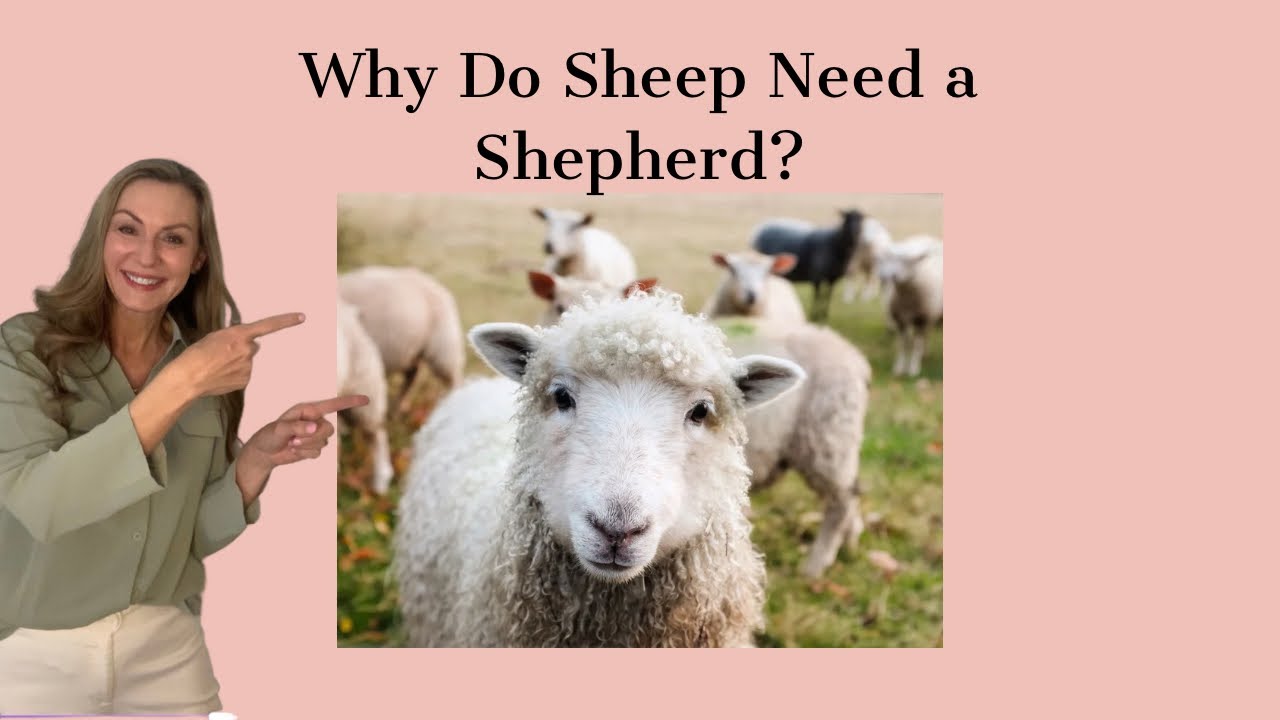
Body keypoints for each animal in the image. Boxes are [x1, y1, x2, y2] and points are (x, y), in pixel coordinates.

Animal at [876, 236, 943, 377]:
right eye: (887, 258)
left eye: (907, 261)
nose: (886, 275)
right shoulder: (900, 320)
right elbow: (903, 344)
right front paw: (899, 368)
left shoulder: (922, 319)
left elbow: (916, 345)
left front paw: (913, 369)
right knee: (926, 335)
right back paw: (925, 354)